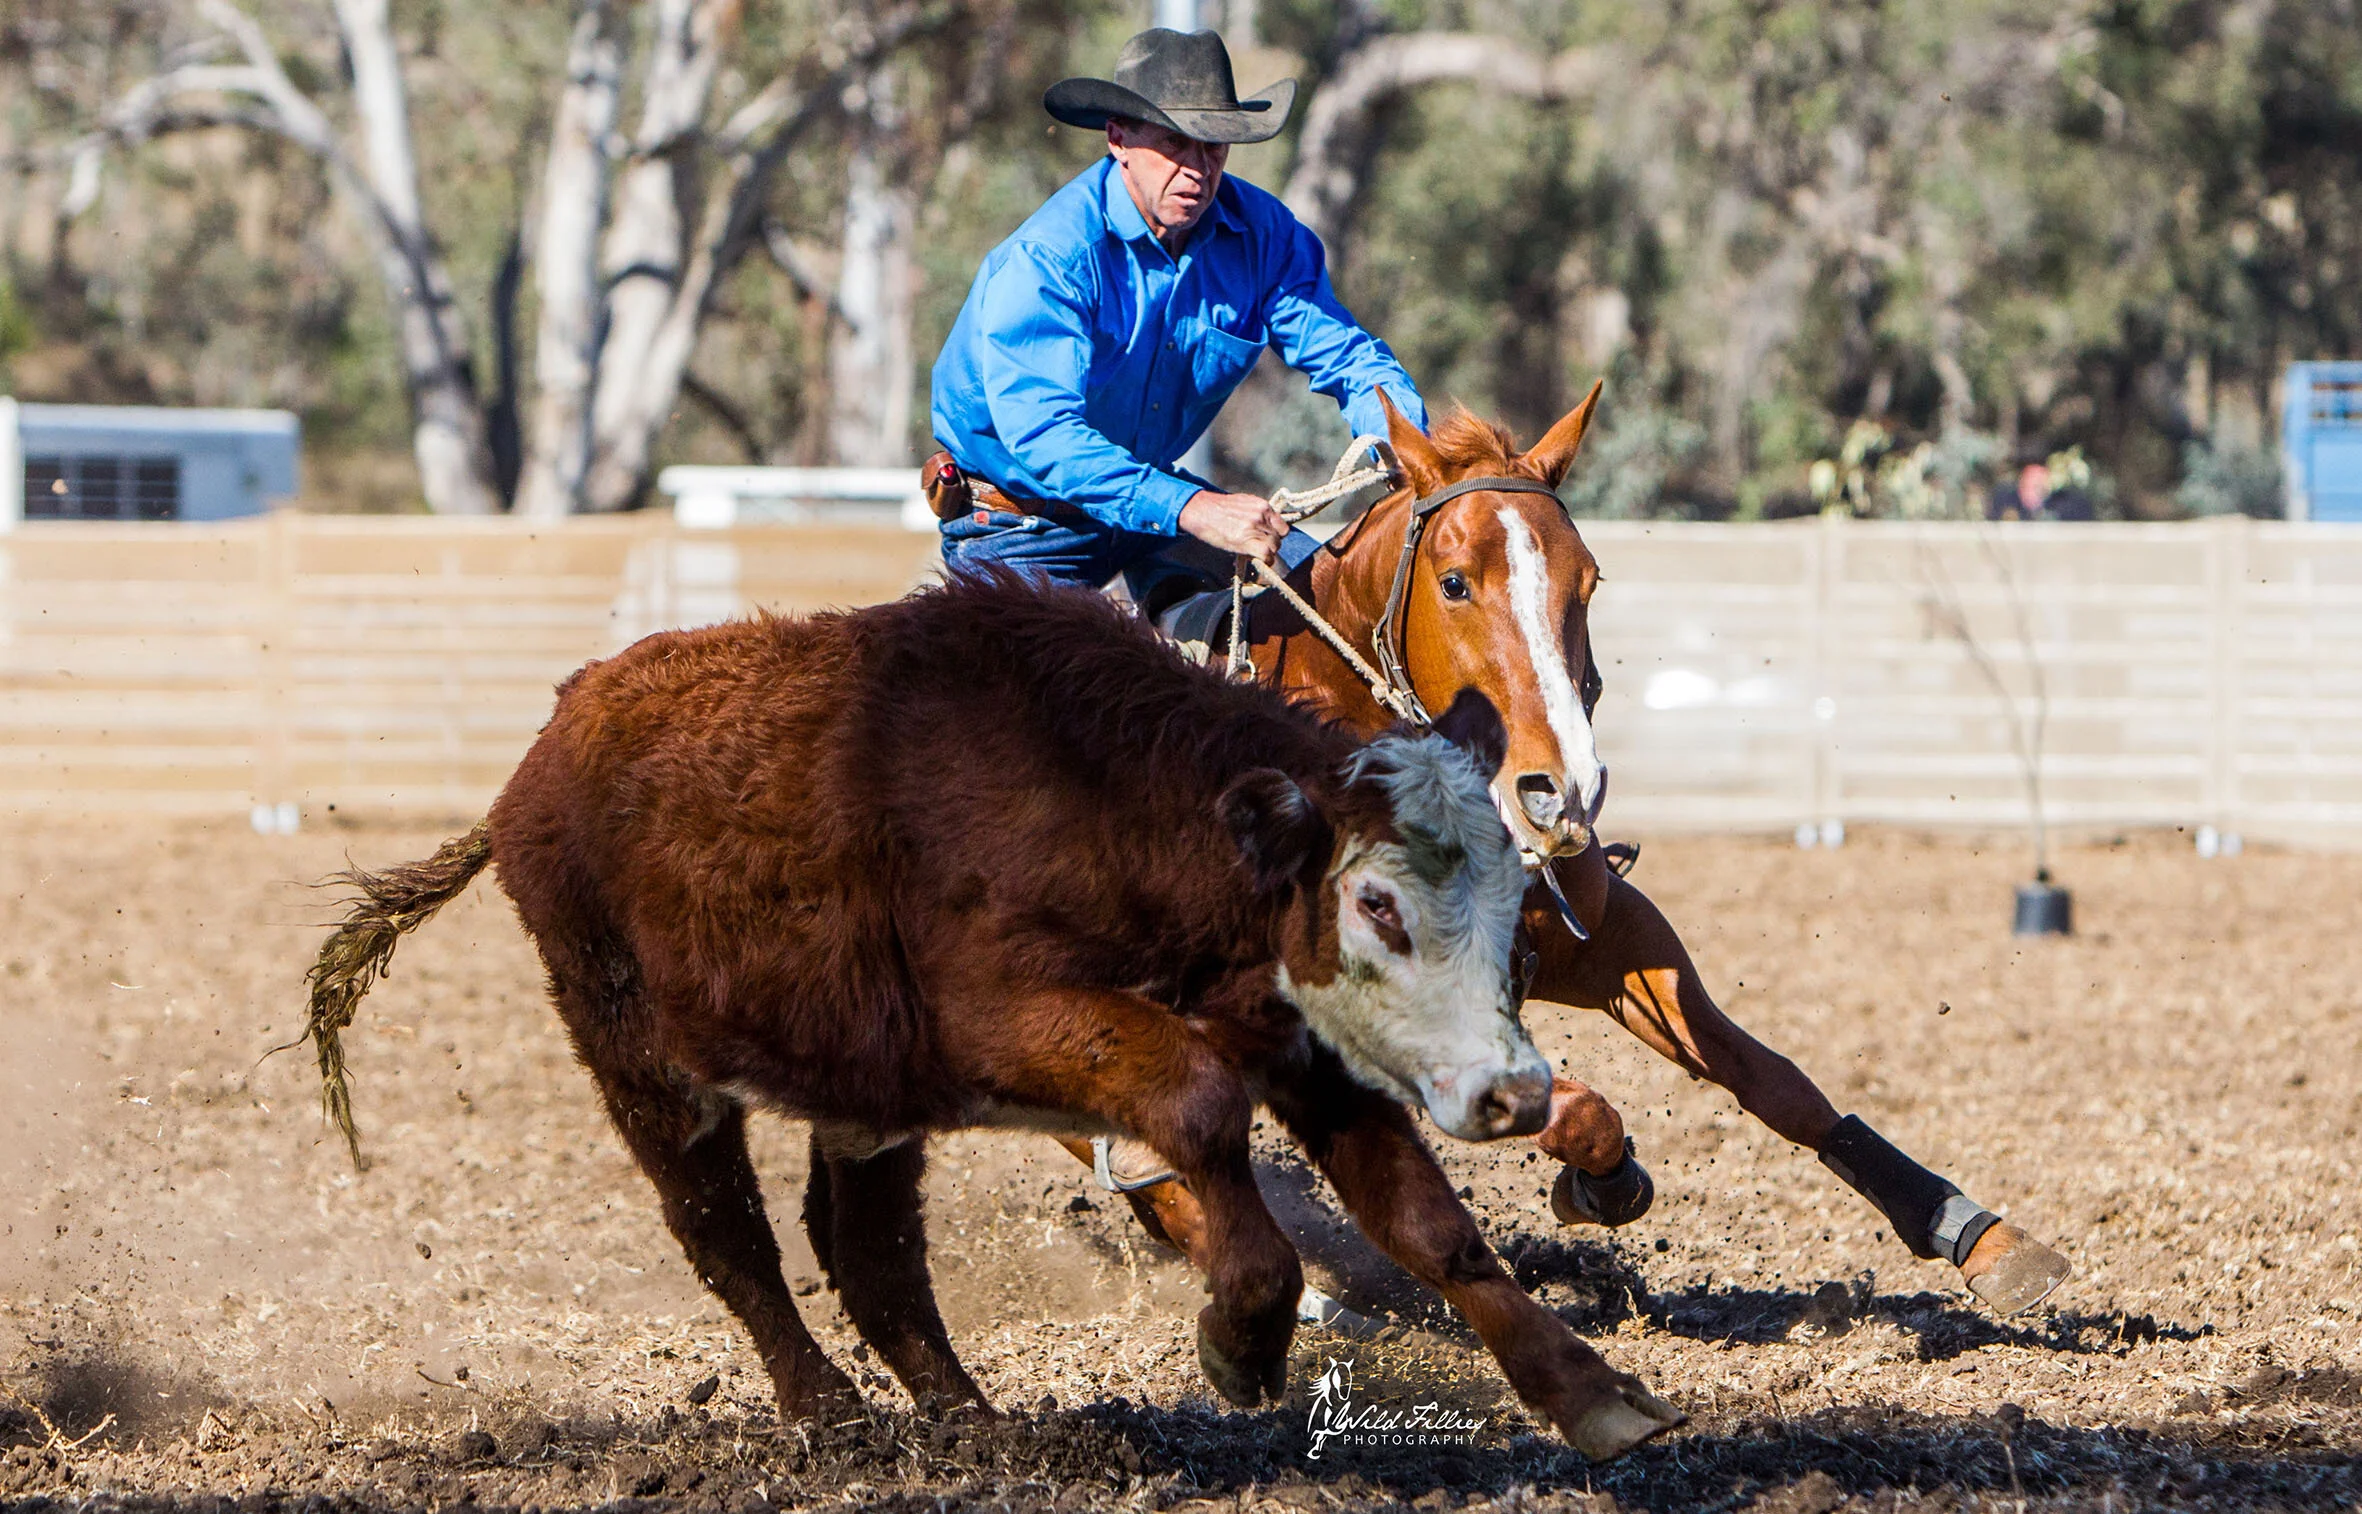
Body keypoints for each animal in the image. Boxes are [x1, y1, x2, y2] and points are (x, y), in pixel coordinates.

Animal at [296, 575, 1683, 1461]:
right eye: (1379, 903)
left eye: (1510, 906)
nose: (1511, 1092)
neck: (1111, 802)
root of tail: (543, 751)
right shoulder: (1003, 1021)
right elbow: (1197, 1108)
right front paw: (1242, 1335)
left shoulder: (1304, 1045)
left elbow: (1426, 1224)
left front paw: (1594, 1393)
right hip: (642, 1060)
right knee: (729, 1235)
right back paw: (830, 1413)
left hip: (862, 1098)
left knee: (867, 1249)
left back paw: (967, 1416)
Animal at [1082, 383, 2072, 1316]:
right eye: (1454, 582)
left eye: (1588, 580)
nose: (1562, 789)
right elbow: (1567, 1107)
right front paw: (1601, 1179)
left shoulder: (1612, 938)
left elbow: (1772, 1078)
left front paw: (1971, 1230)